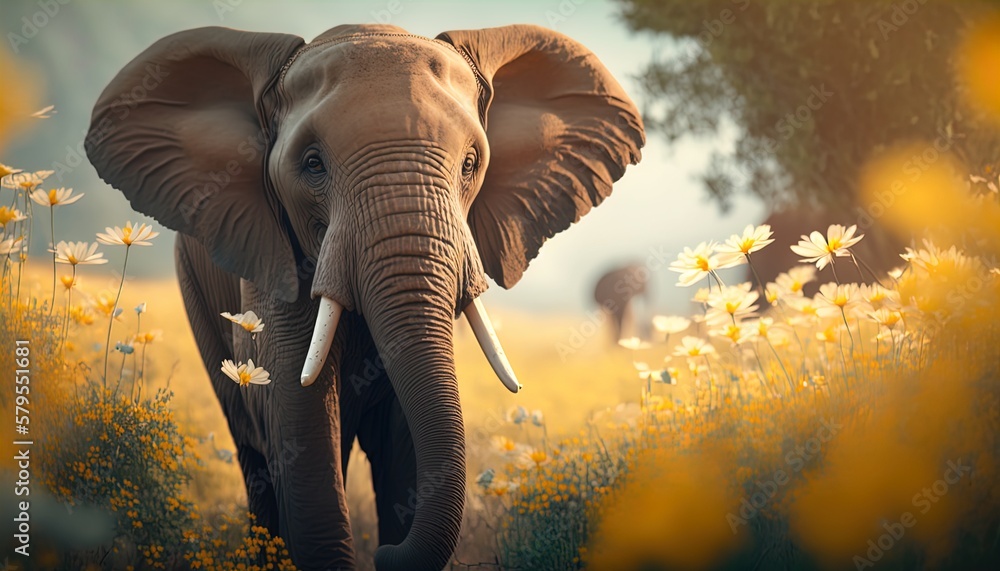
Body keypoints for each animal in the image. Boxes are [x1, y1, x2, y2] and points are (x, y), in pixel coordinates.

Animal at [85, 23, 643, 571]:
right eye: (312, 165)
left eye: (469, 163)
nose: (384, 555)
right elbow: (298, 424)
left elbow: (402, 442)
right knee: (252, 448)